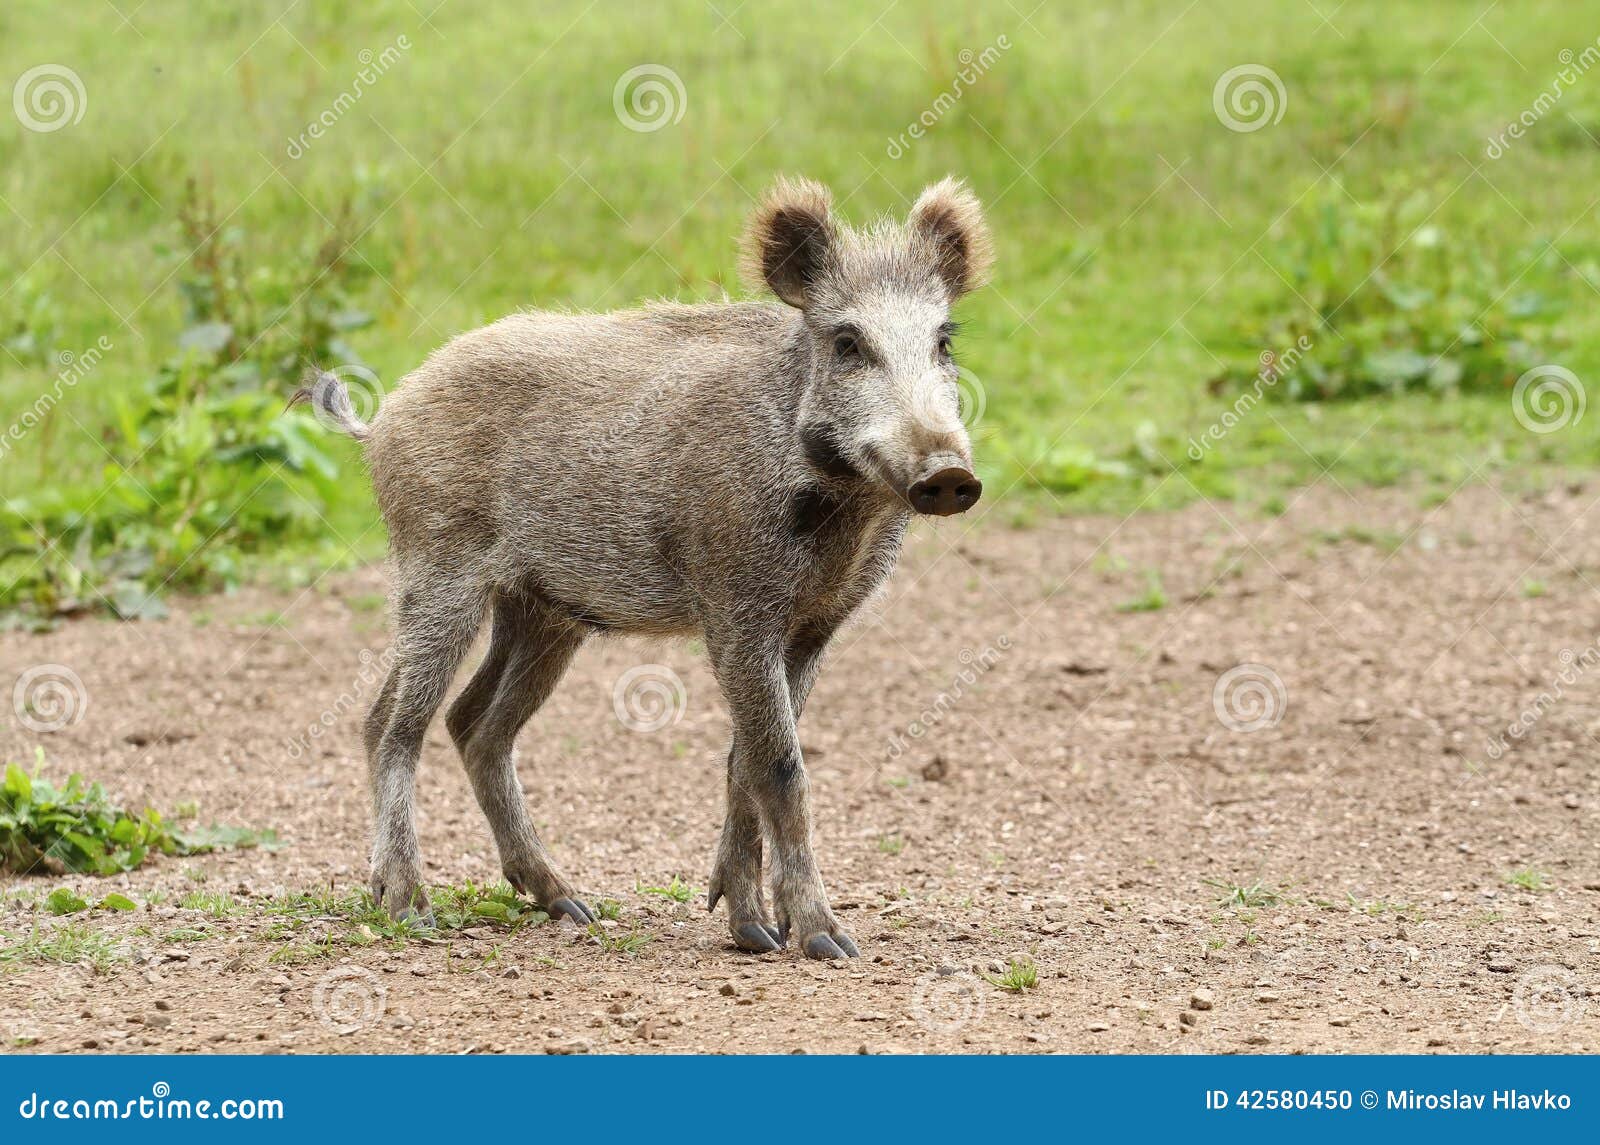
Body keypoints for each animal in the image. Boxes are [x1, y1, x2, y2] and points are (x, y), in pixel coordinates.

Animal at [294, 175, 992, 959]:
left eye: (943, 340)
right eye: (847, 342)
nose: (949, 472)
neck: (843, 509)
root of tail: (381, 418)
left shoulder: (814, 627)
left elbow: (743, 763)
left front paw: (755, 932)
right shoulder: (735, 610)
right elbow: (780, 766)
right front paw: (824, 941)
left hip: (541, 610)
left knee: (476, 724)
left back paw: (570, 905)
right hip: (438, 570)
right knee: (390, 721)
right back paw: (409, 908)